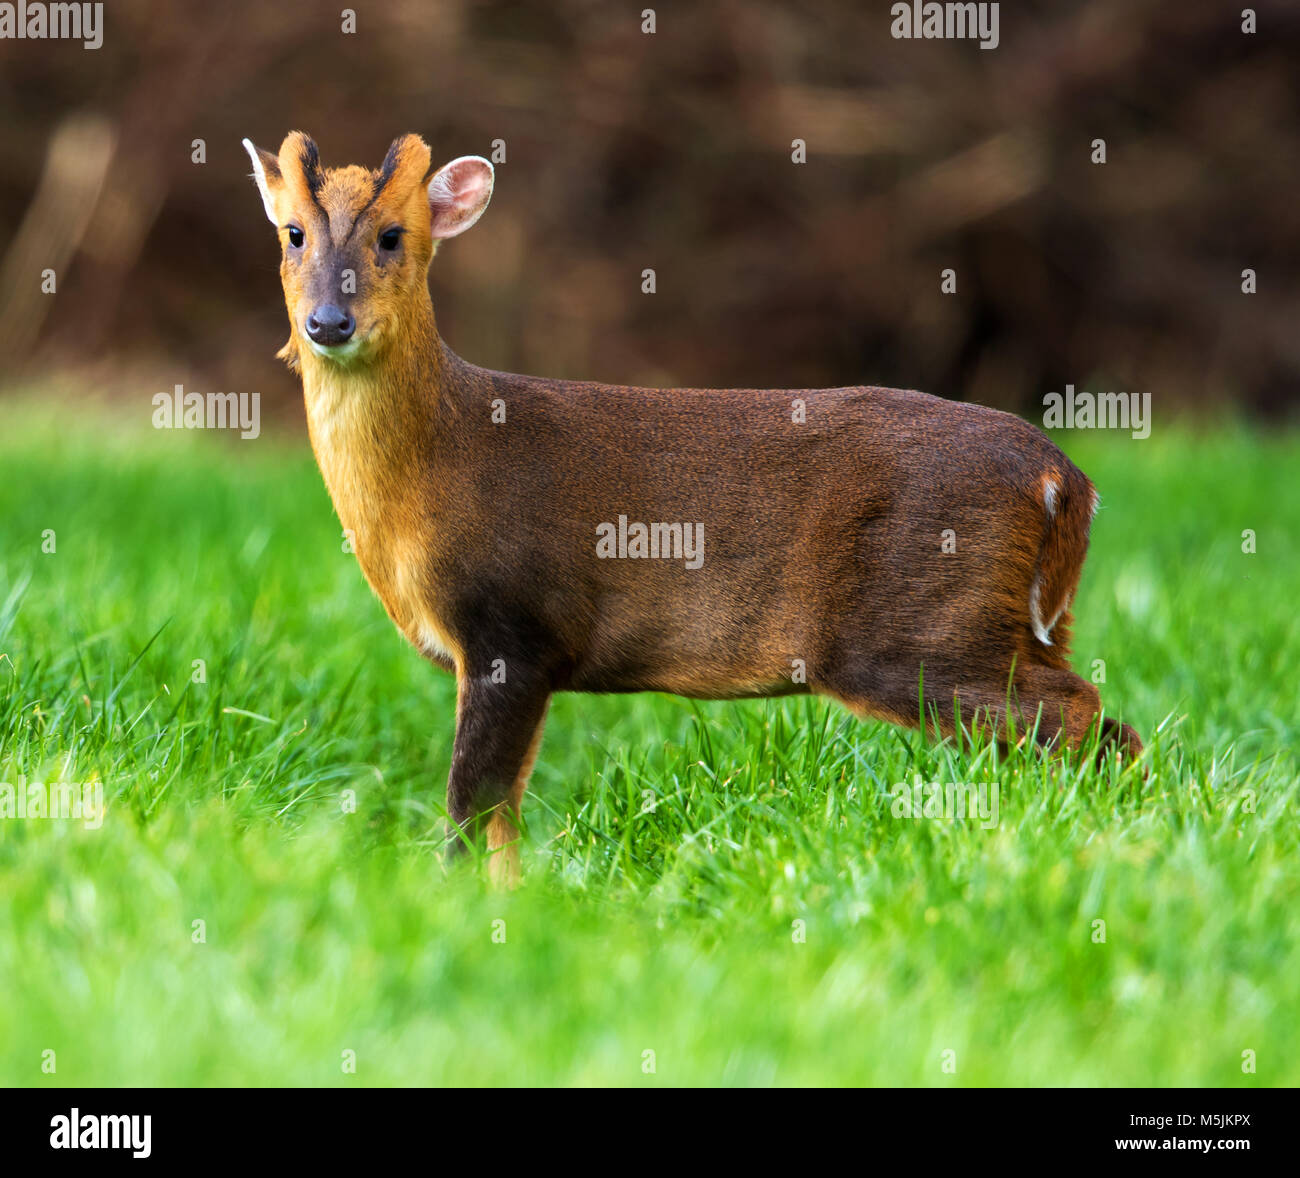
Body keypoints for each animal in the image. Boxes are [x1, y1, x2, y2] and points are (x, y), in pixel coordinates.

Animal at [242, 131, 1143, 884]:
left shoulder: (516, 628)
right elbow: (502, 817)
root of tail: (1067, 481)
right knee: (1098, 725)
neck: (430, 473)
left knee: (1076, 712)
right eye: (292, 234)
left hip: (922, 625)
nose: (328, 322)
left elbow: (473, 805)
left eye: (393, 236)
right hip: (1027, 622)